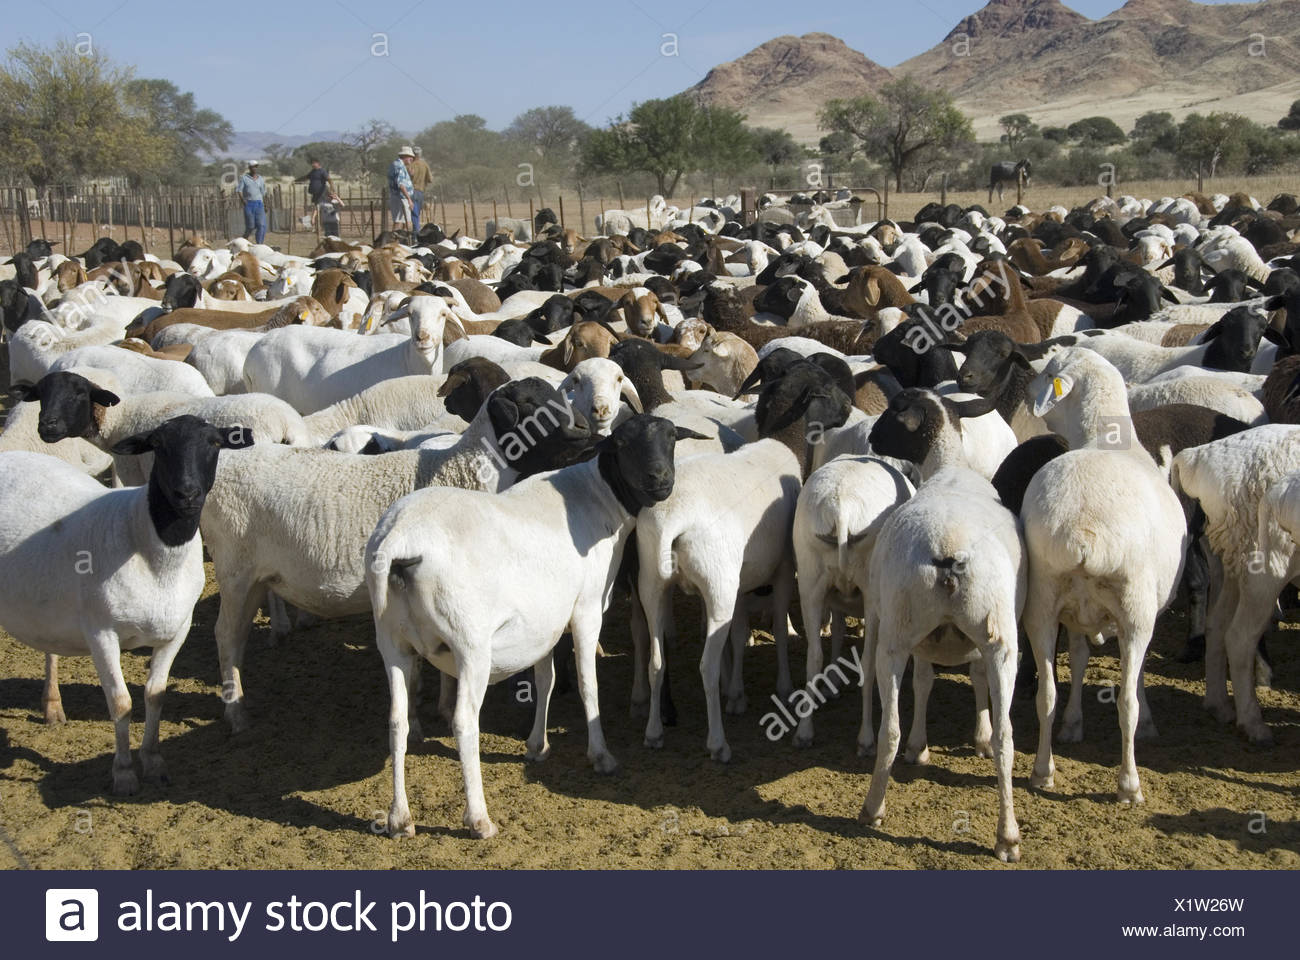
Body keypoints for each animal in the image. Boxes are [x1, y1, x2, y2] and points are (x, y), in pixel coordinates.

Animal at [0, 417, 252, 792]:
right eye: (158, 445)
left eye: (215, 443)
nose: (187, 494)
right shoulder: (101, 633)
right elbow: (121, 702)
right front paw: (123, 774)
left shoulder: (177, 631)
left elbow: (155, 695)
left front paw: (153, 761)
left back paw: (52, 707)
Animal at [201, 377, 593, 730]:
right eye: (528, 401)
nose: (585, 426)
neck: (465, 469)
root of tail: (224, 469)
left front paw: (439, 707)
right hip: (234, 571)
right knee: (225, 636)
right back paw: (236, 714)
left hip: (256, 575)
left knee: (237, 635)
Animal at [367, 414, 692, 838]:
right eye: (621, 442)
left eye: (672, 437)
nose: (661, 480)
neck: (599, 498)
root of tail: (398, 541)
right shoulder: (586, 610)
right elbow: (588, 684)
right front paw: (601, 755)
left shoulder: (545, 623)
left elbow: (545, 680)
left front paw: (538, 746)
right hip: (470, 645)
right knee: (463, 722)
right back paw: (478, 819)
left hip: (393, 643)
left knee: (396, 722)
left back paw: (399, 819)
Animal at [1020, 347, 1188, 803]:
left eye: (1049, 371)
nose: (1027, 386)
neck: (1102, 435)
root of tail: (1083, 529)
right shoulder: (1147, 612)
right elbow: (1140, 675)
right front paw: (1147, 725)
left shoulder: (1077, 614)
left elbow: (1078, 660)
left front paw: (1073, 725)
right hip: (1135, 606)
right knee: (1125, 701)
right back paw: (1129, 785)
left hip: (1041, 601)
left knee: (1045, 694)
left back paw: (1043, 772)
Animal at [1170, 426, 1300, 744]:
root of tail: (1195, 456)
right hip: (1262, 560)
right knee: (1240, 636)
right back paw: (1253, 724)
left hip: (1225, 553)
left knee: (1217, 625)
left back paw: (1219, 706)